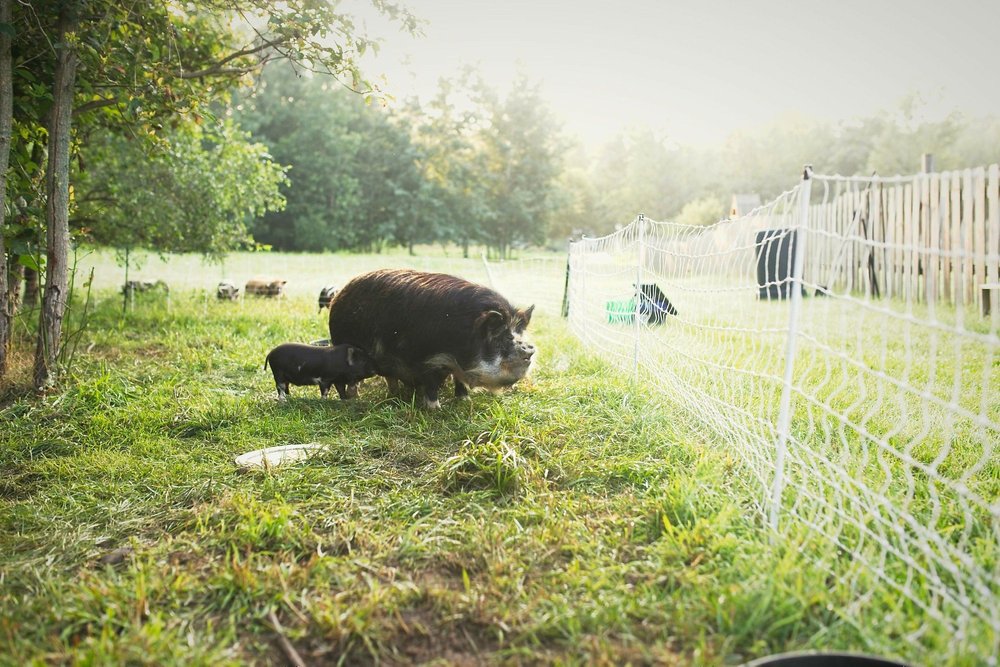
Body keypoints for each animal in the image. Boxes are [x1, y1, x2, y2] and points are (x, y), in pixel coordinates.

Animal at [327, 268, 536, 409]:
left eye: (520, 334)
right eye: (503, 337)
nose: (530, 348)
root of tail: (339, 296)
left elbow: (459, 381)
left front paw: (464, 400)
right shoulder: (426, 360)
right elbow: (431, 383)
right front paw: (435, 409)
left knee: (389, 377)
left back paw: (392, 394)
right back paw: (355, 397)